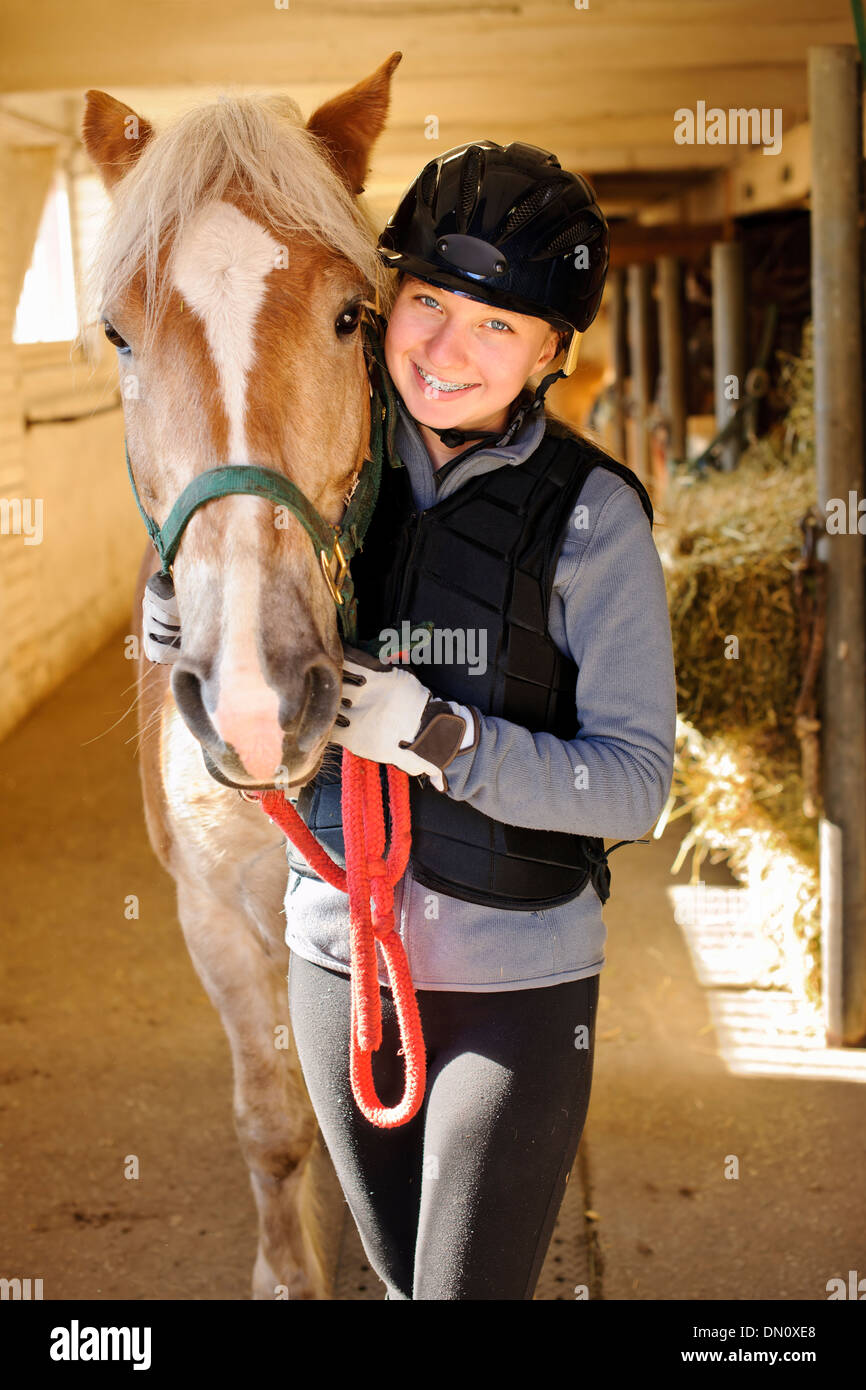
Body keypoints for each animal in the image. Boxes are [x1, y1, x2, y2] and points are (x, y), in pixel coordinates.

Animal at [79, 46, 405, 1301]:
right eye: (118, 336)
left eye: (353, 315)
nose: (259, 703)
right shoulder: (213, 915)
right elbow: (273, 1124)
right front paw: (286, 1267)